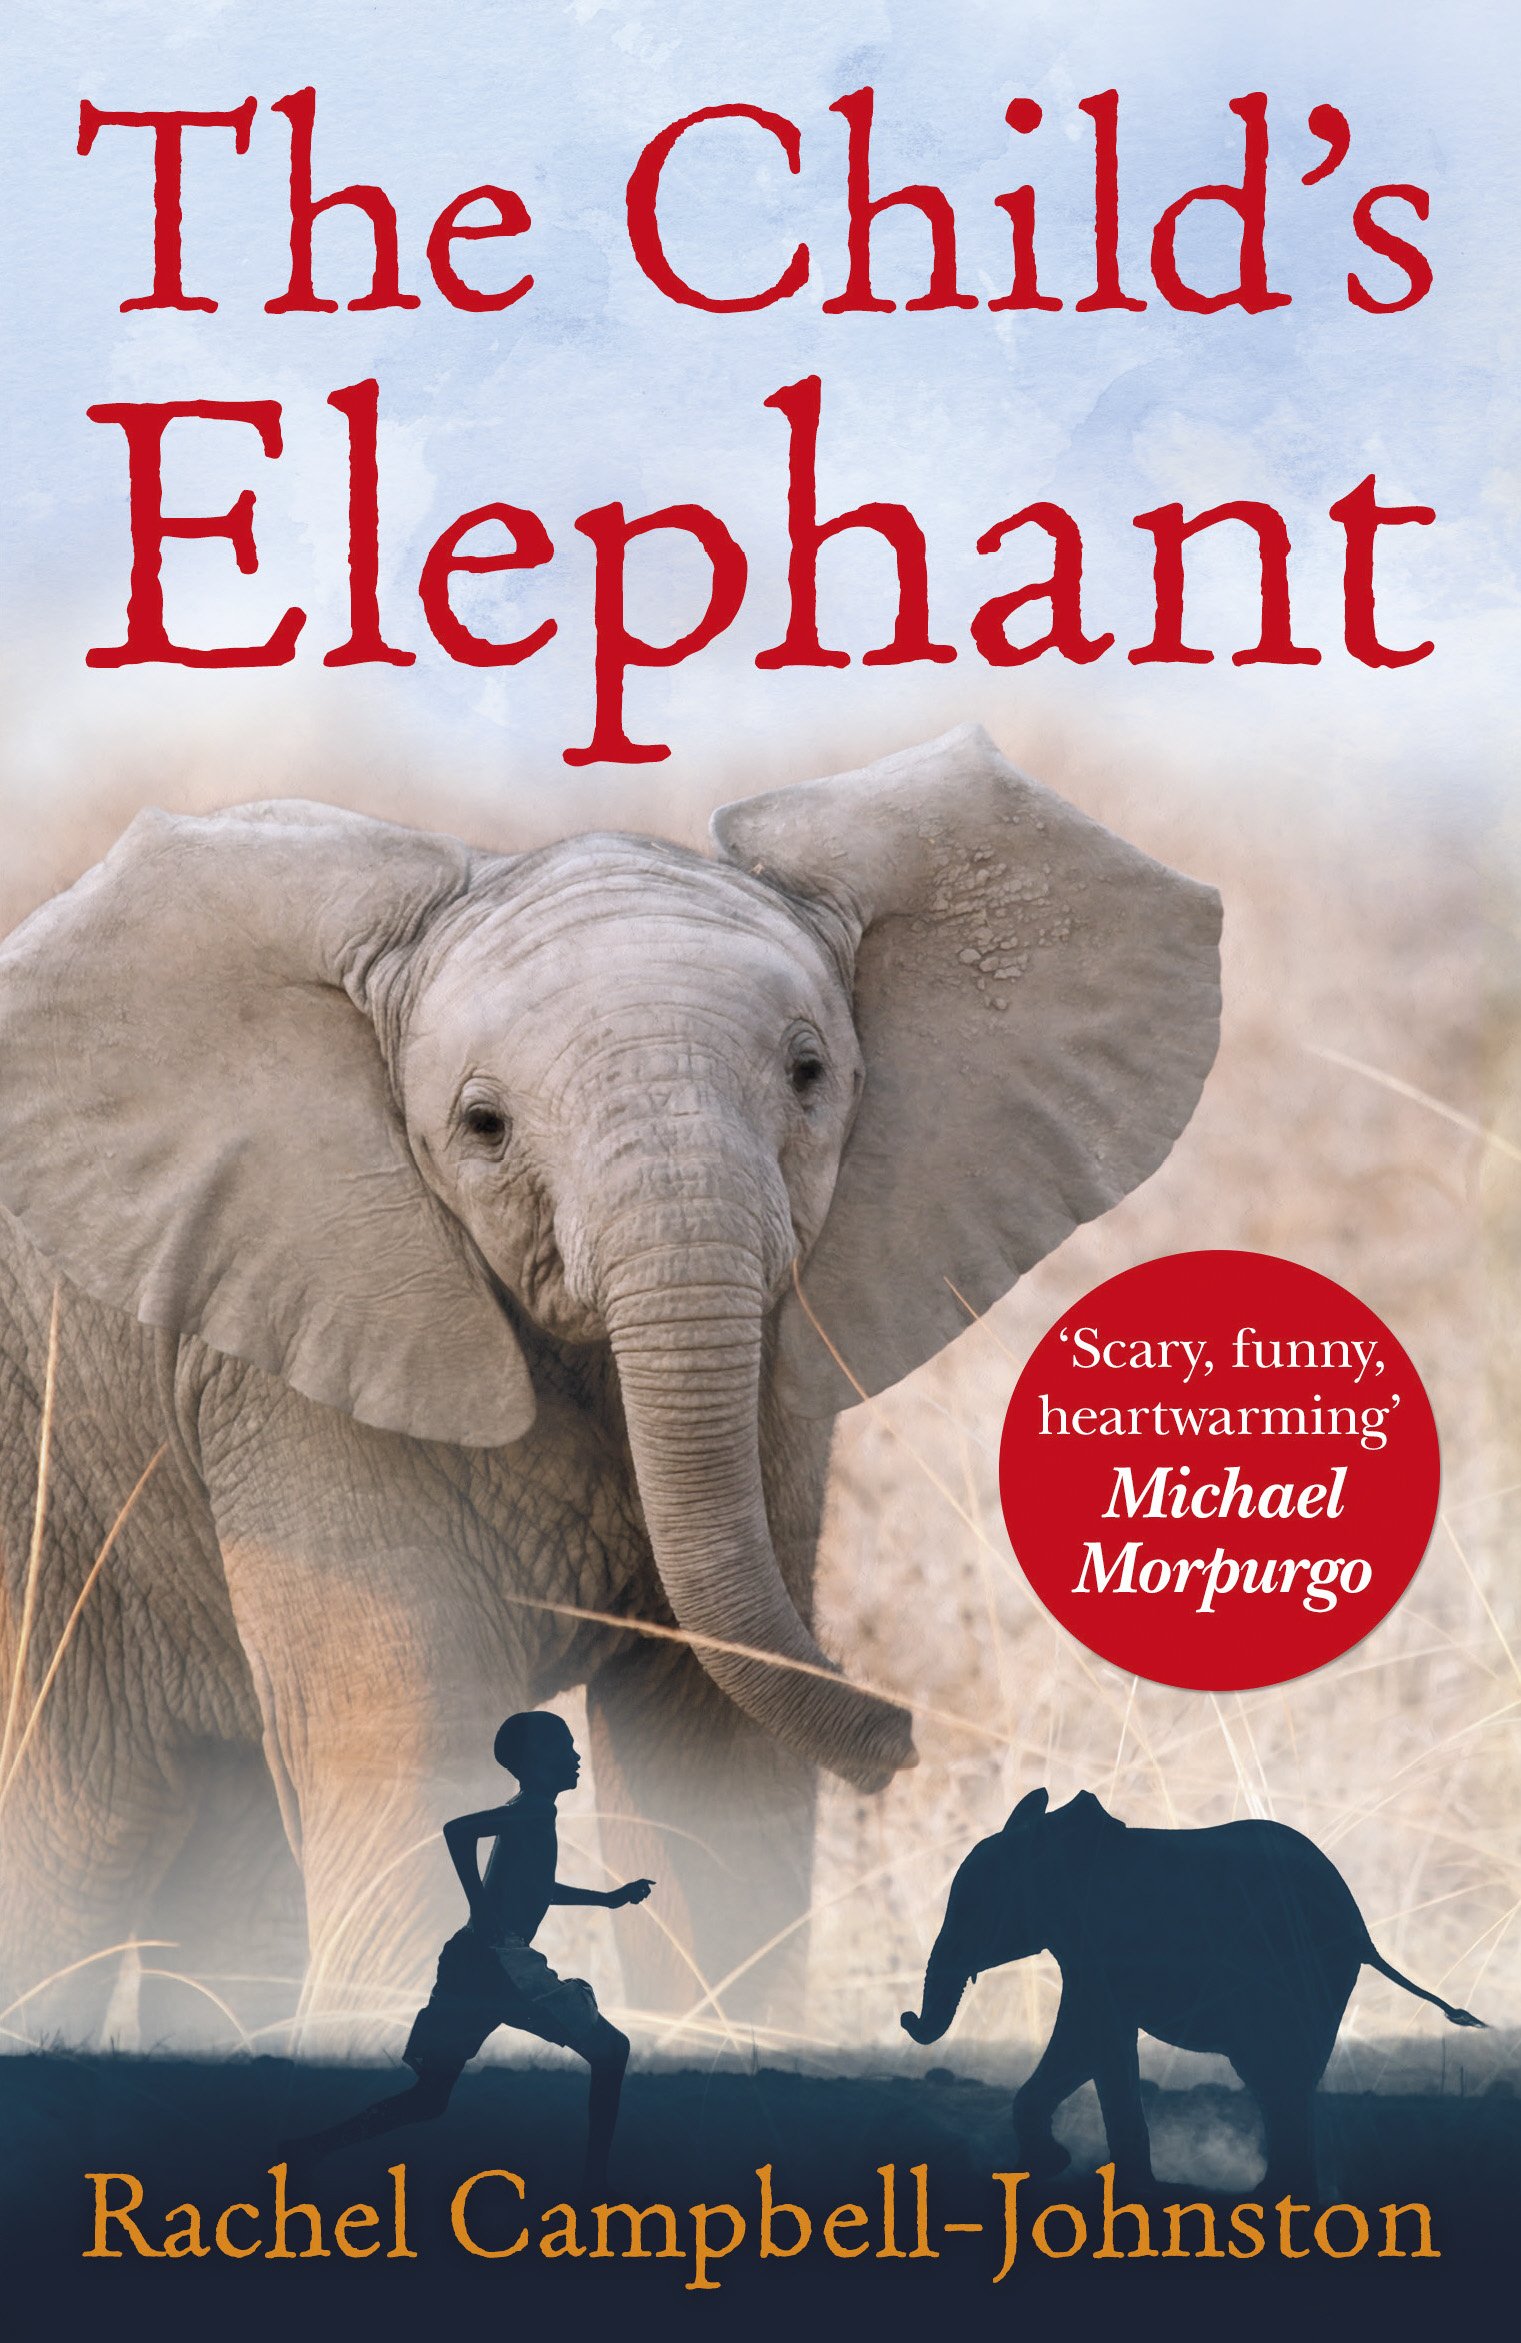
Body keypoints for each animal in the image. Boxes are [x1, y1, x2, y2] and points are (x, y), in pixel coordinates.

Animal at [0, 725, 1220, 2054]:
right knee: (70, 1843)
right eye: (482, 1125)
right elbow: (419, 1764)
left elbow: (720, 1765)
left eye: (810, 1073)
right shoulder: (288, 1355)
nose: (906, 1732)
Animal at [901, 1787, 1483, 2194]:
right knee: (1287, 2081)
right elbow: (1095, 2045)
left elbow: (1089, 2036)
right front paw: (1047, 2169)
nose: (907, 2019)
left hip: (1294, 1972)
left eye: (975, 1909)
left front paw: (1067, 2172)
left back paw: (1275, 2197)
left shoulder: (1108, 1944)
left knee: (1273, 2074)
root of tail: (1361, 1930)